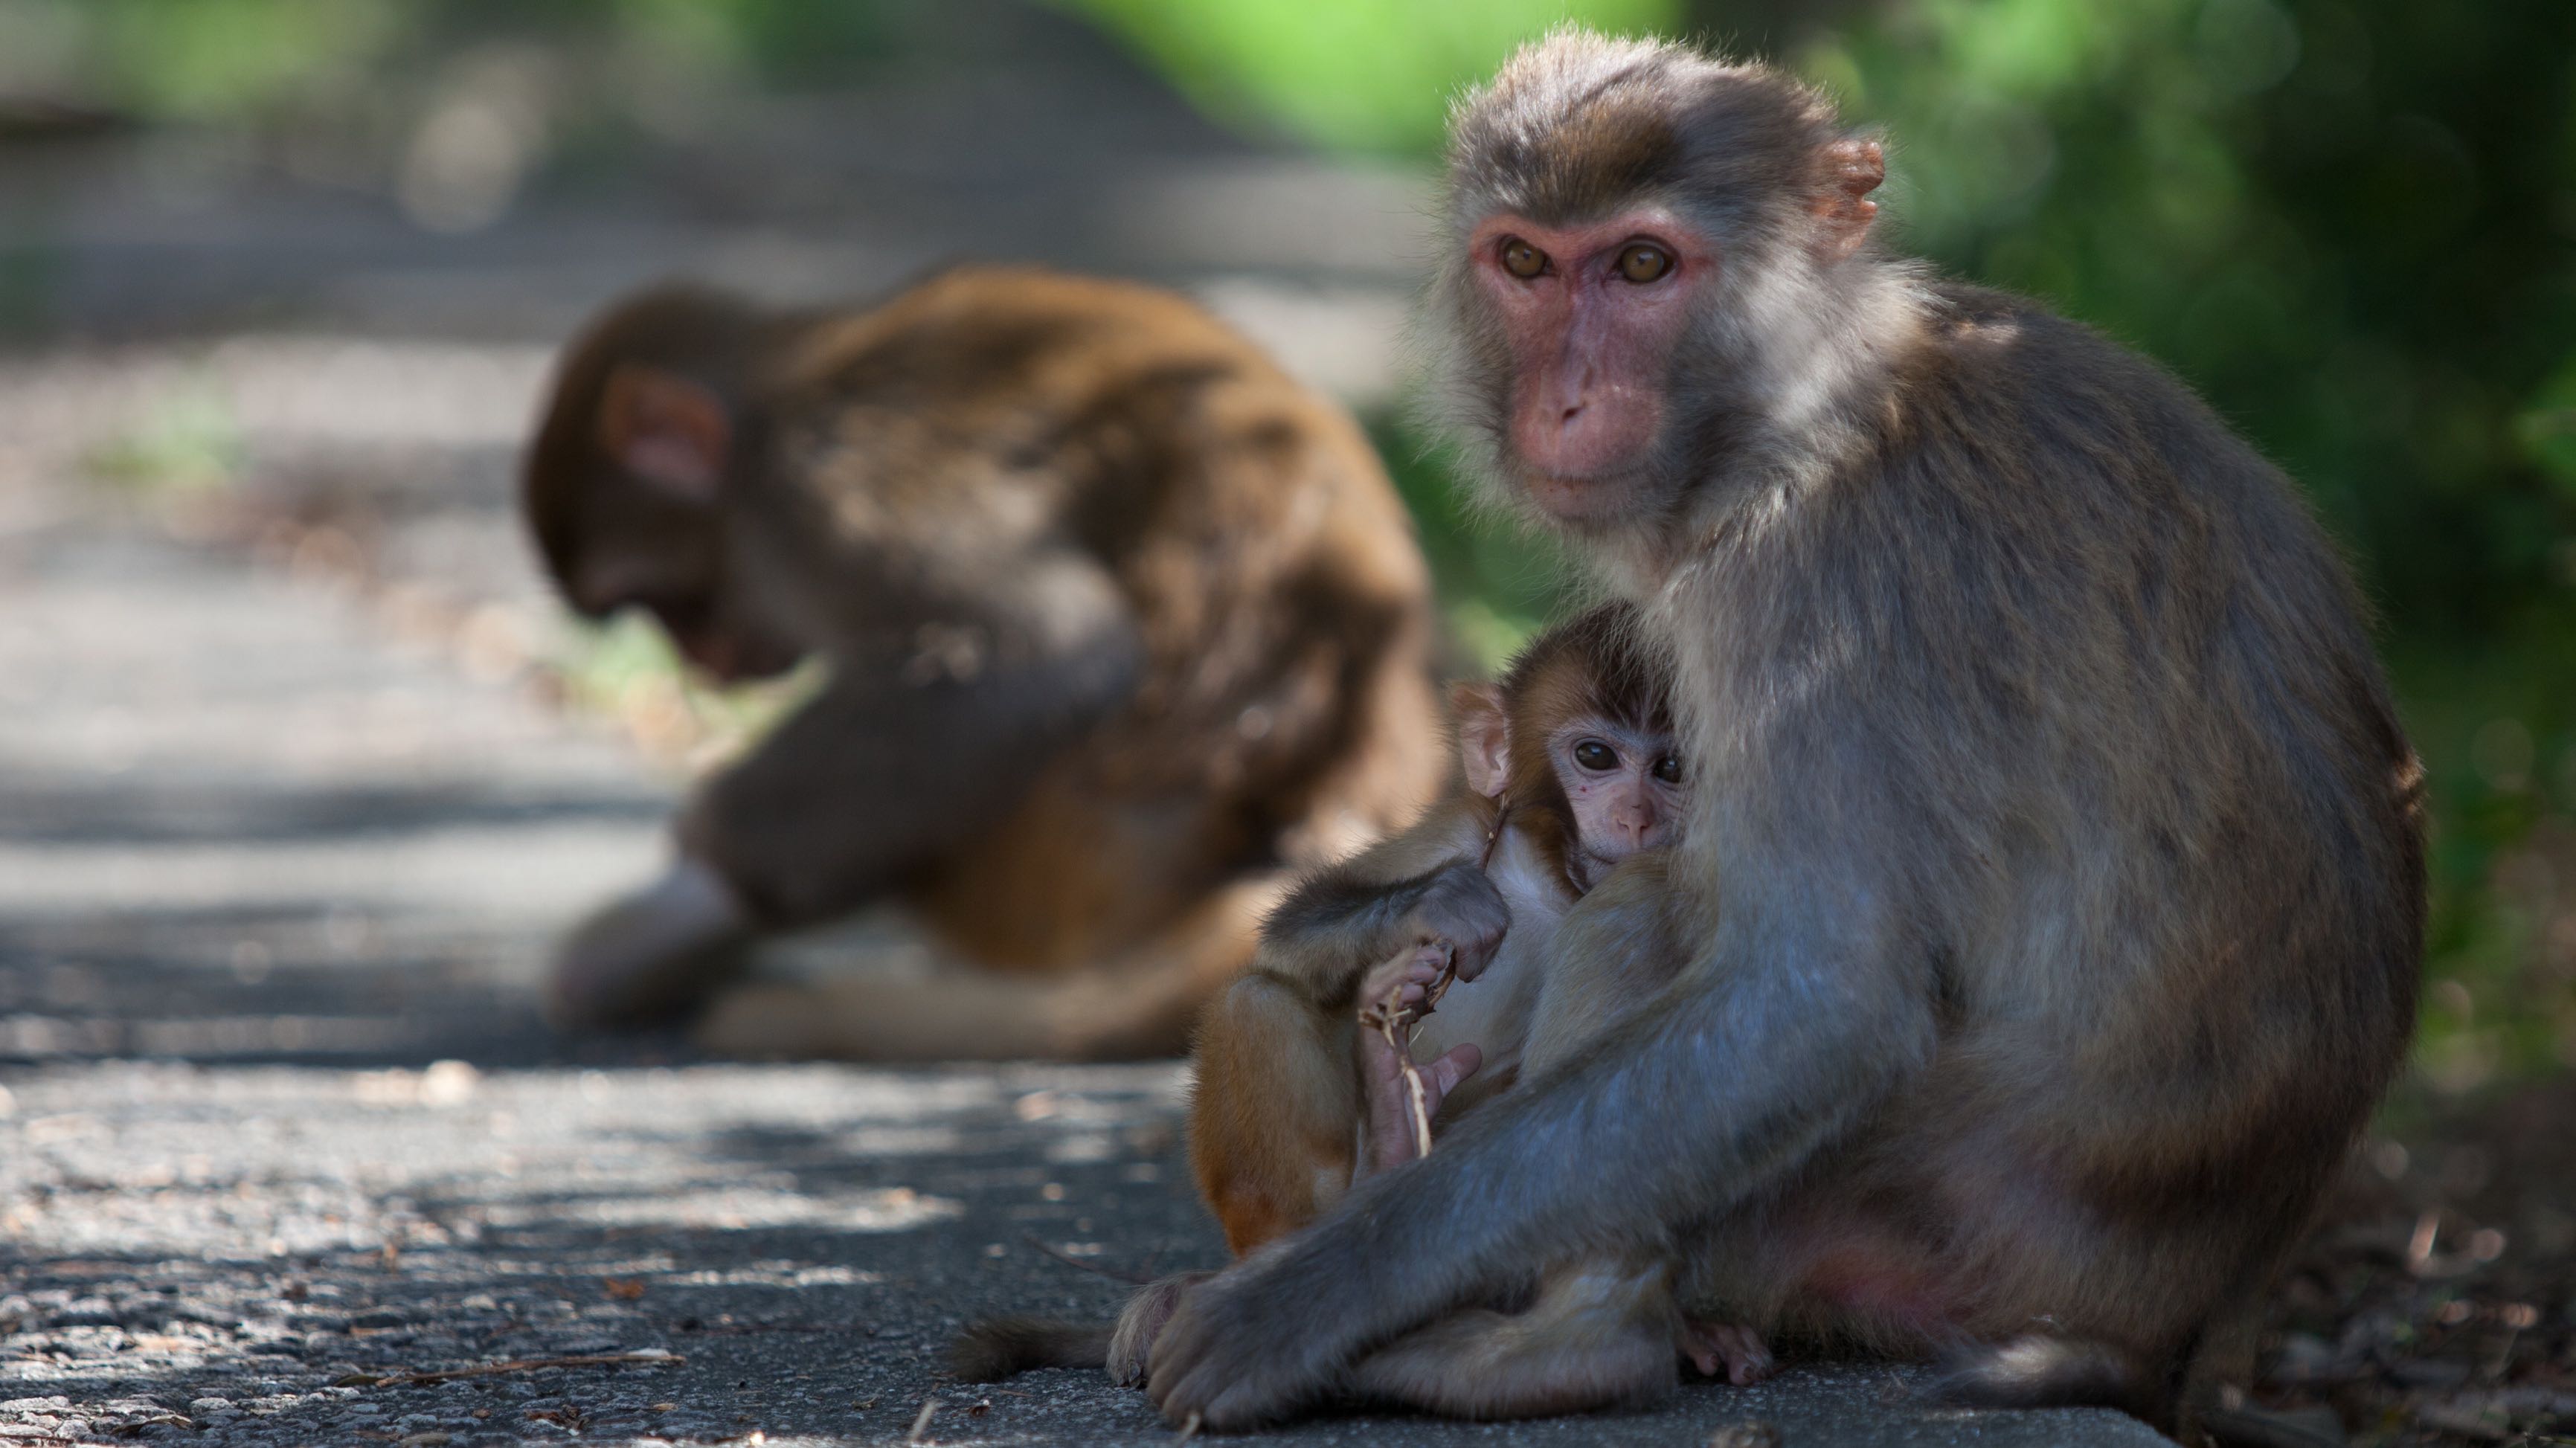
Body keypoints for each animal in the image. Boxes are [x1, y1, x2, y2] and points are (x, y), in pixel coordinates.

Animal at [521, 266, 1448, 1059]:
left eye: (671, 605)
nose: (705, 666)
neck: (782, 395)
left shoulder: (822, 493)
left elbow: (1039, 658)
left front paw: (680, 909)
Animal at [1142, 32, 2424, 1436]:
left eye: (1643, 266)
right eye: (1525, 262)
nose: (1564, 400)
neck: (1814, 409)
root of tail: (2166, 1334)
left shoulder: (1818, 593)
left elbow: (1817, 1000)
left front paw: (1293, 1305)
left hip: (1902, 1224)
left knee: (1657, 910)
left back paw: (1569, 1343)